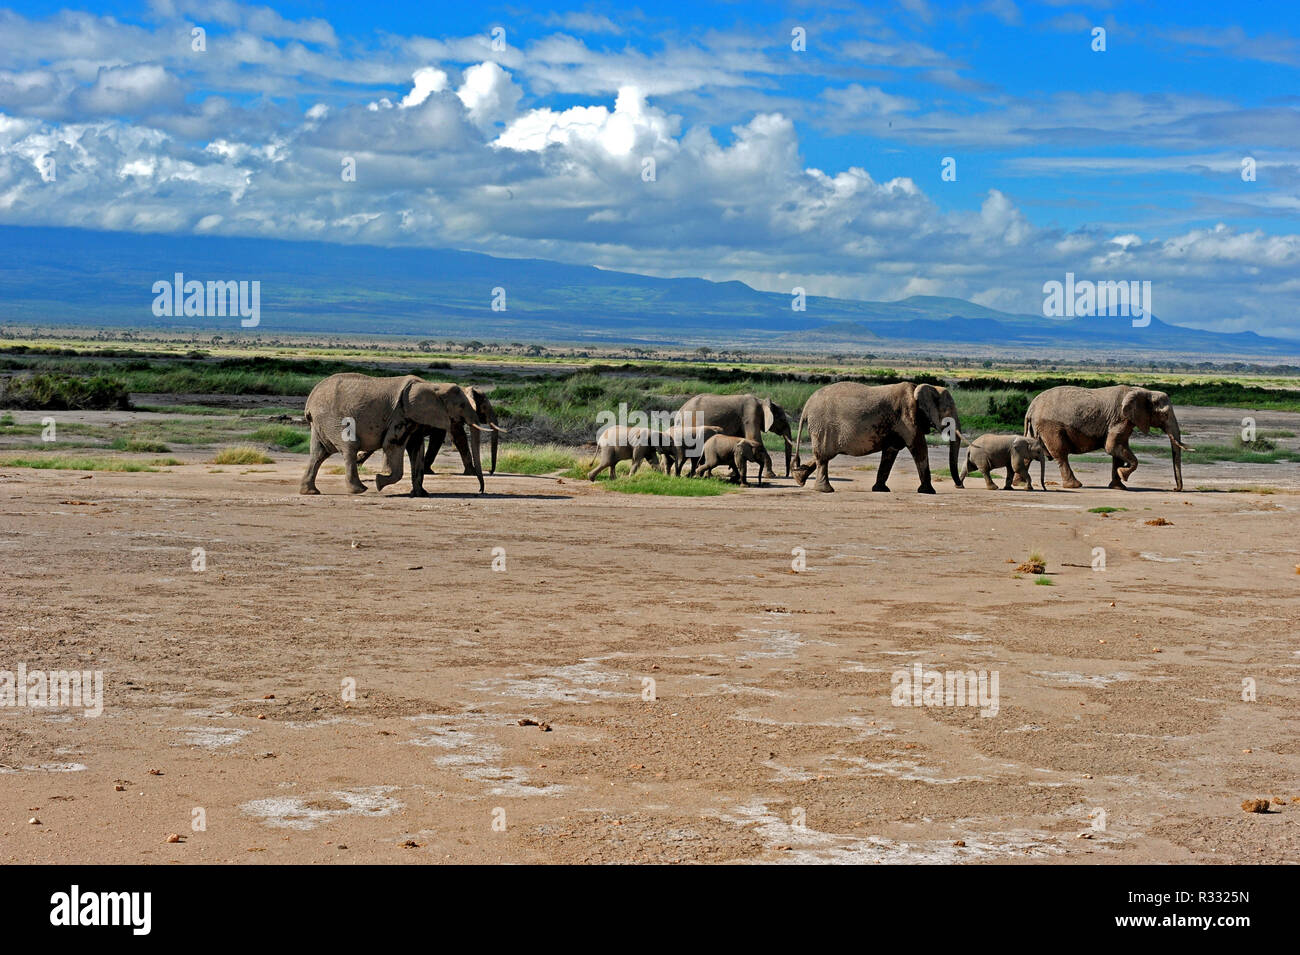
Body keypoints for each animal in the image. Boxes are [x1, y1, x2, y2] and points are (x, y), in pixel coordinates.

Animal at [300, 374, 487, 496]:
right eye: (461, 405)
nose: (480, 491)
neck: (434, 386)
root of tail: (310, 401)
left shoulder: (414, 417)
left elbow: (416, 449)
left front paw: (421, 494)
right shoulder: (401, 414)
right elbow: (391, 444)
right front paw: (379, 482)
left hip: (321, 423)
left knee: (319, 454)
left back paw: (310, 492)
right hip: (333, 419)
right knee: (349, 447)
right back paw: (360, 490)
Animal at [790, 381, 965, 494]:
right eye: (948, 410)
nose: (960, 486)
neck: (921, 388)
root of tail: (806, 406)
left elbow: (890, 452)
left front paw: (881, 490)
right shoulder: (907, 417)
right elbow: (919, 446)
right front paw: (929, 492)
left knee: (822, 455)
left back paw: (799, 478)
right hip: (823, 425)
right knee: (824, 457)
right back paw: (825, 490)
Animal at [1024, 385, 1193, 491]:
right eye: (1165, 415)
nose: (1175, 489)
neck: (1142, 391)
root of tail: (1031, 407)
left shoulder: (1125, 421)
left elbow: (1118, 449)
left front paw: (1119, 486)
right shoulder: (1120, 419)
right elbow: (1111, 447)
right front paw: (1123, 473)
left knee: (1028, 452)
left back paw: (1022, 484)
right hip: (1050, 427)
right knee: (1061, 454)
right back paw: (1075, 486)